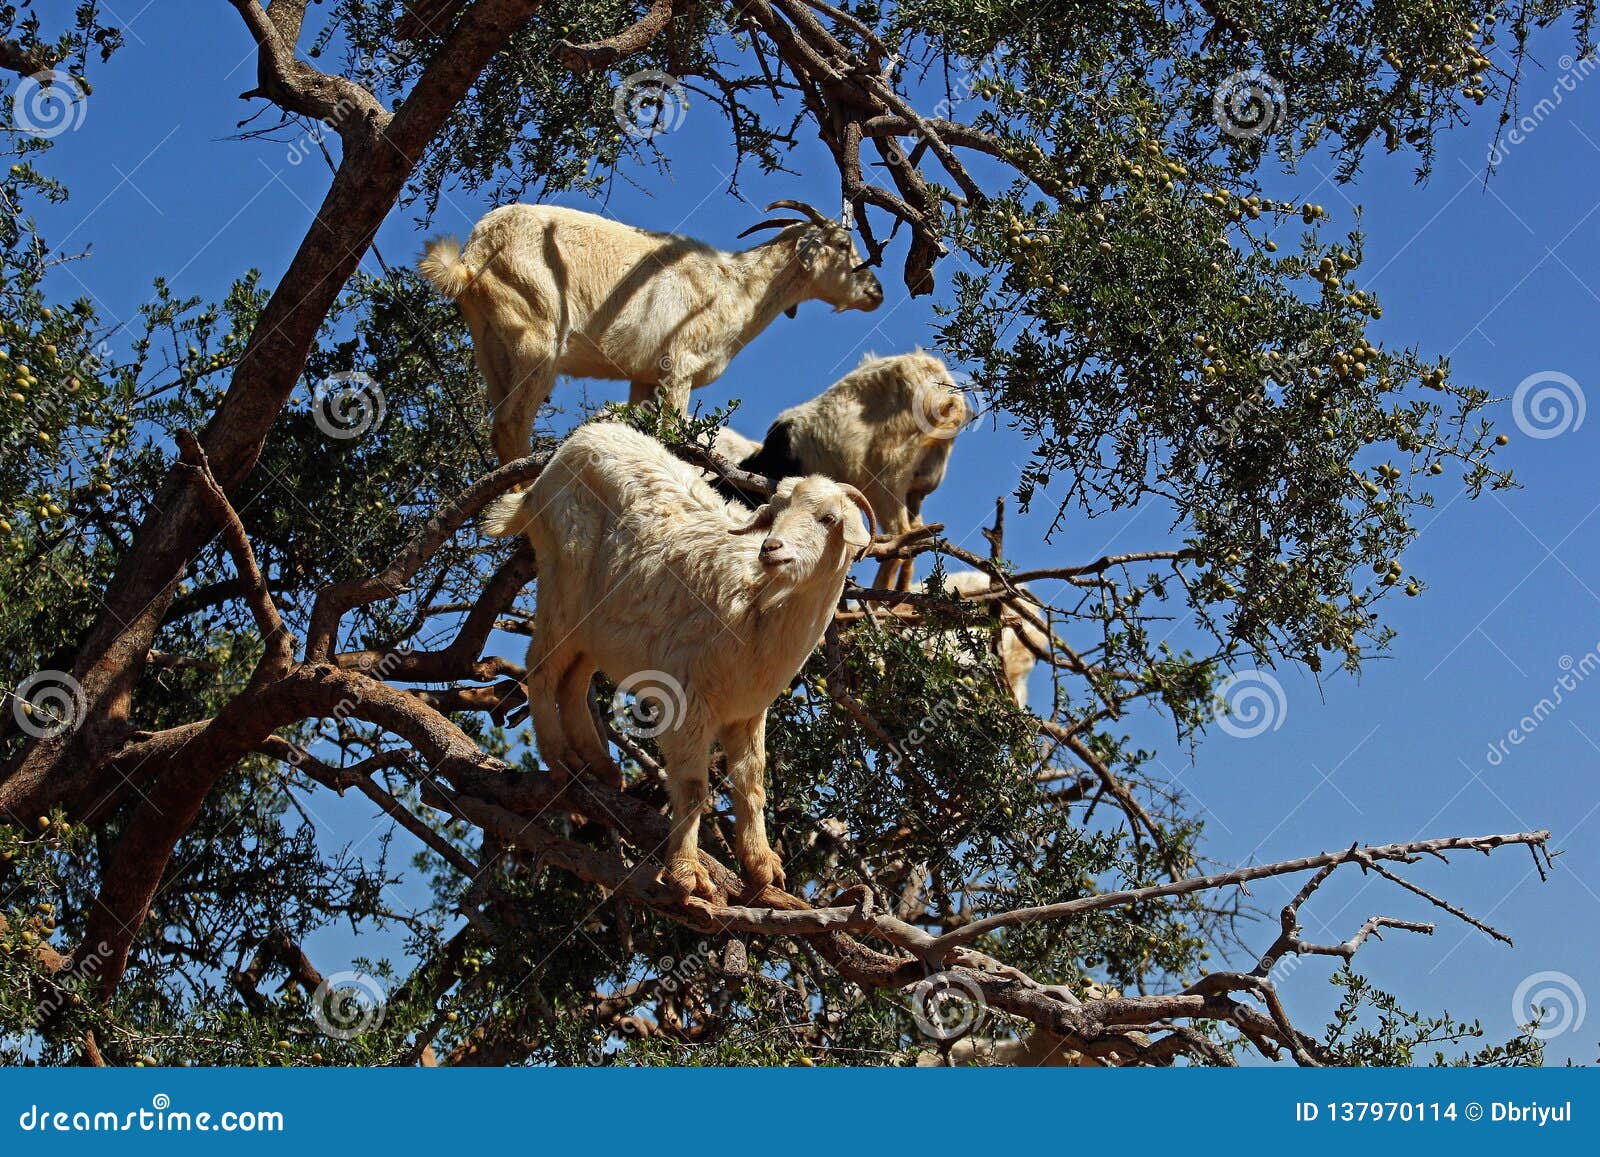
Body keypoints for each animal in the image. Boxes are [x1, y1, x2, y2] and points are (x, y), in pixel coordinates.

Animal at [421, 201, 884, 465]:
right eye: (843, 246)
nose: (876, 292)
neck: (735, 287)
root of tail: (472, 256)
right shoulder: (679, 367)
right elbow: (673, 433)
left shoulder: (643, 377)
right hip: (537, 338)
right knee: (511, 424)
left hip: (491, 347)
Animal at [482, 421, 875, 899]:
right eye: (775, 513)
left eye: (828, 519)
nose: (771, 548)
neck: (758, 607)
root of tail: (580, 441)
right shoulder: (689, 701)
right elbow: (691, 787)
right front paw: (687, 872)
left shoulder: (748, 713)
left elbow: (752, 782)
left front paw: (763, 867)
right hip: (562, 582)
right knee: (541, 668)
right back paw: (560, 760)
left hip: (597, 628)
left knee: (573, 680)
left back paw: (600, 768)